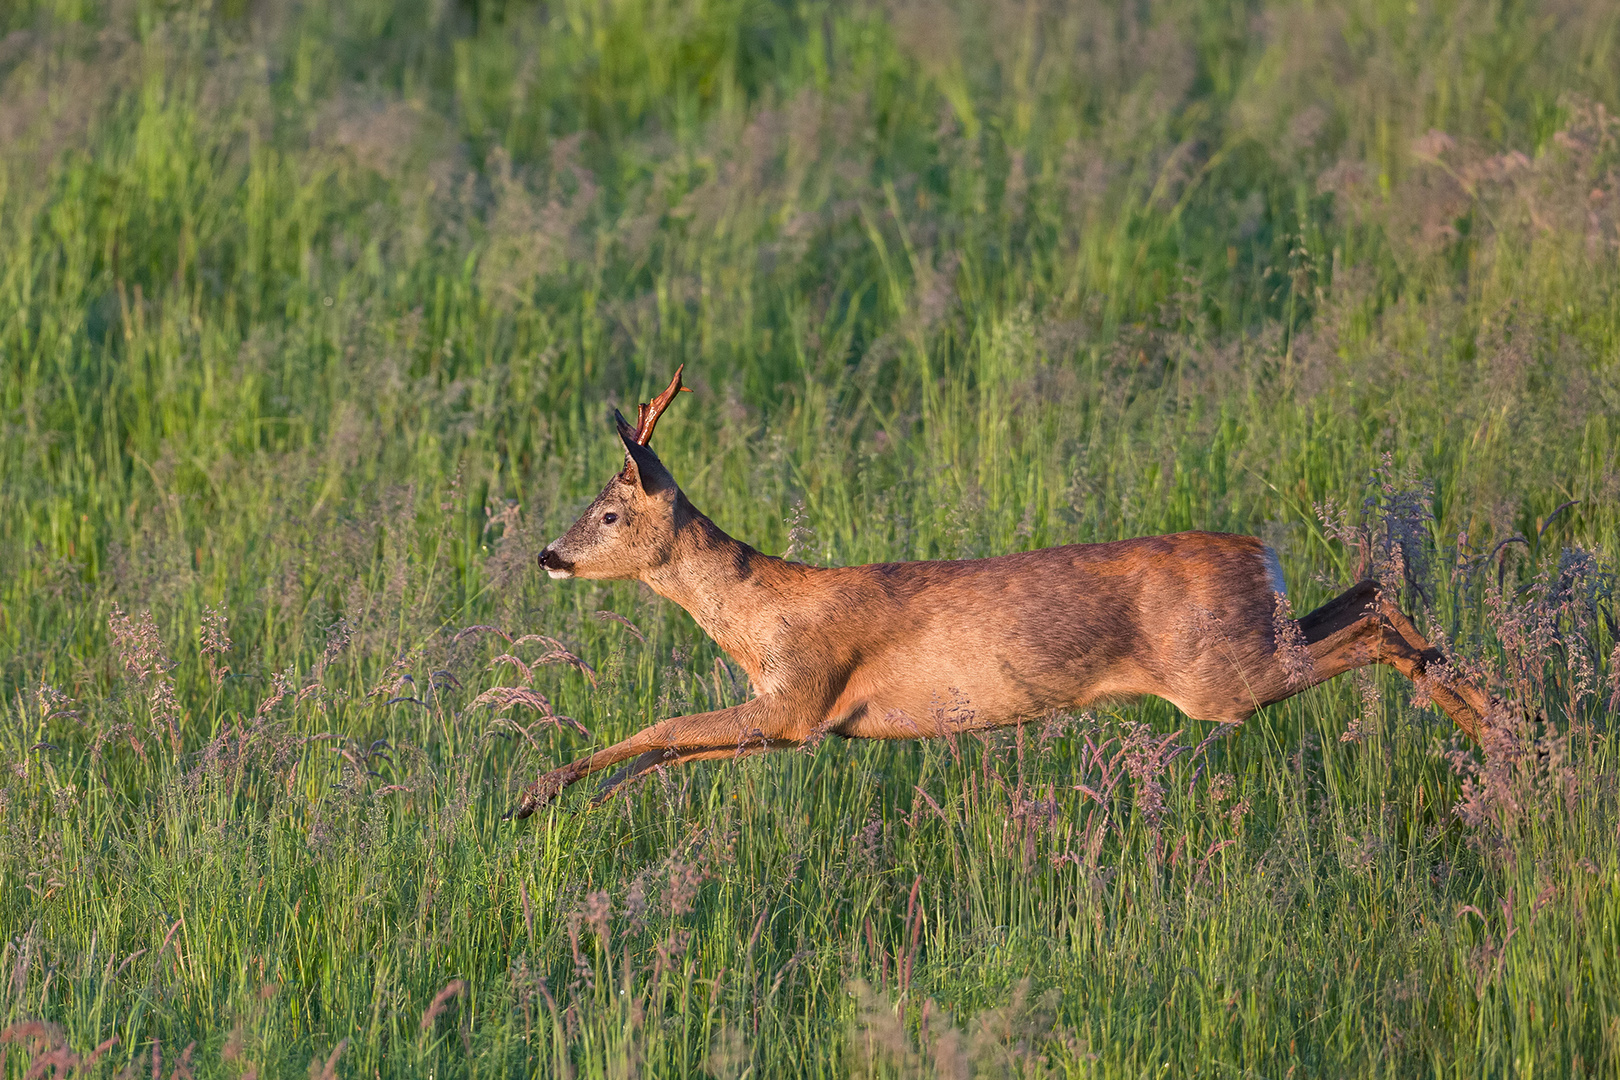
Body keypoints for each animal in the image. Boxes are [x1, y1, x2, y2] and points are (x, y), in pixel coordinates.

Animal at [508, 367, 1490, 816]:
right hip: (1256, 642)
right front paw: (573, 799)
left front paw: (537, 793)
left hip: (1219, 677)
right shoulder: (788, 719)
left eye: (606, 511)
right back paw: (1491, 717)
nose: (547, 555)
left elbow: (664, 726)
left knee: (1373, 625)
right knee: (1372, 591)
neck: (758, 614)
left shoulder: (801, 700)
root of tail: (1261, 549)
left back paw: (1484, 720)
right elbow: (673, 746)